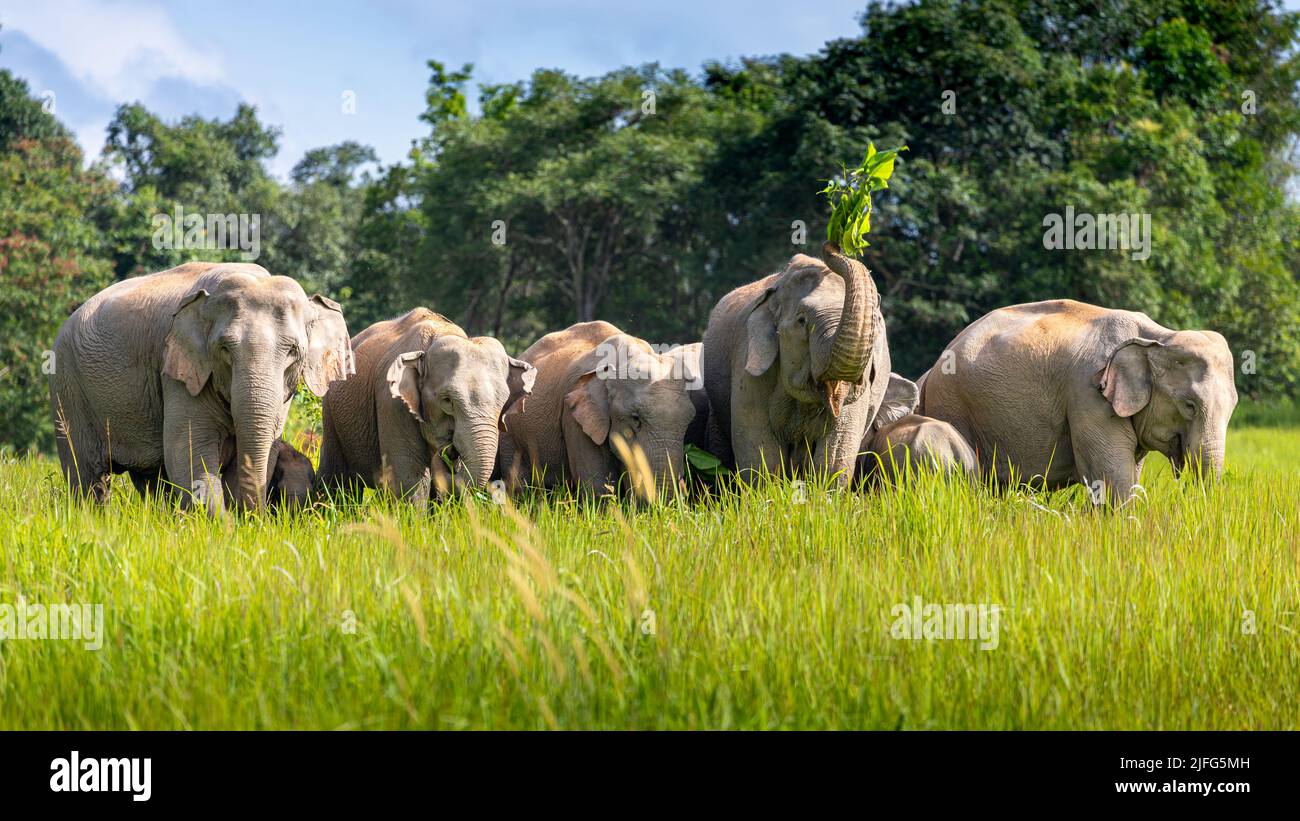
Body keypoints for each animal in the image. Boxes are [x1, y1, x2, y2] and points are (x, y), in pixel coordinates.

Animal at [49, 261, 353, 511]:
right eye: (225, 348)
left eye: (292, 351)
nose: (258, 517)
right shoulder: (179, 373)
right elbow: (189, 451)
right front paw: (222, 528)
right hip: (67, 384)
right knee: (88, 476)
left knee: (151, 478)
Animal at [316, 308, 535, 502]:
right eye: (448, 401)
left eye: (503, 402)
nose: (448, 452)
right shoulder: (392, 402)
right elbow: (410, 479)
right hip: (331, 413)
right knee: (339, 481)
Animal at [701, 243, 892, 486]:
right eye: (802, 321)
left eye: (875, 323)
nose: (833, 244)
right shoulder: (748, 365)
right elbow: (760, 452)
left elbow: (836, 453)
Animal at [918, 299, 1238, 504]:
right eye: (1189, 405)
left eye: (1233, 407)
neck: (1158, 336)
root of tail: (932, 370)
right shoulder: (1088, 394)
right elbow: (1112, 476)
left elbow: (1130, 471)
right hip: (953, 405)